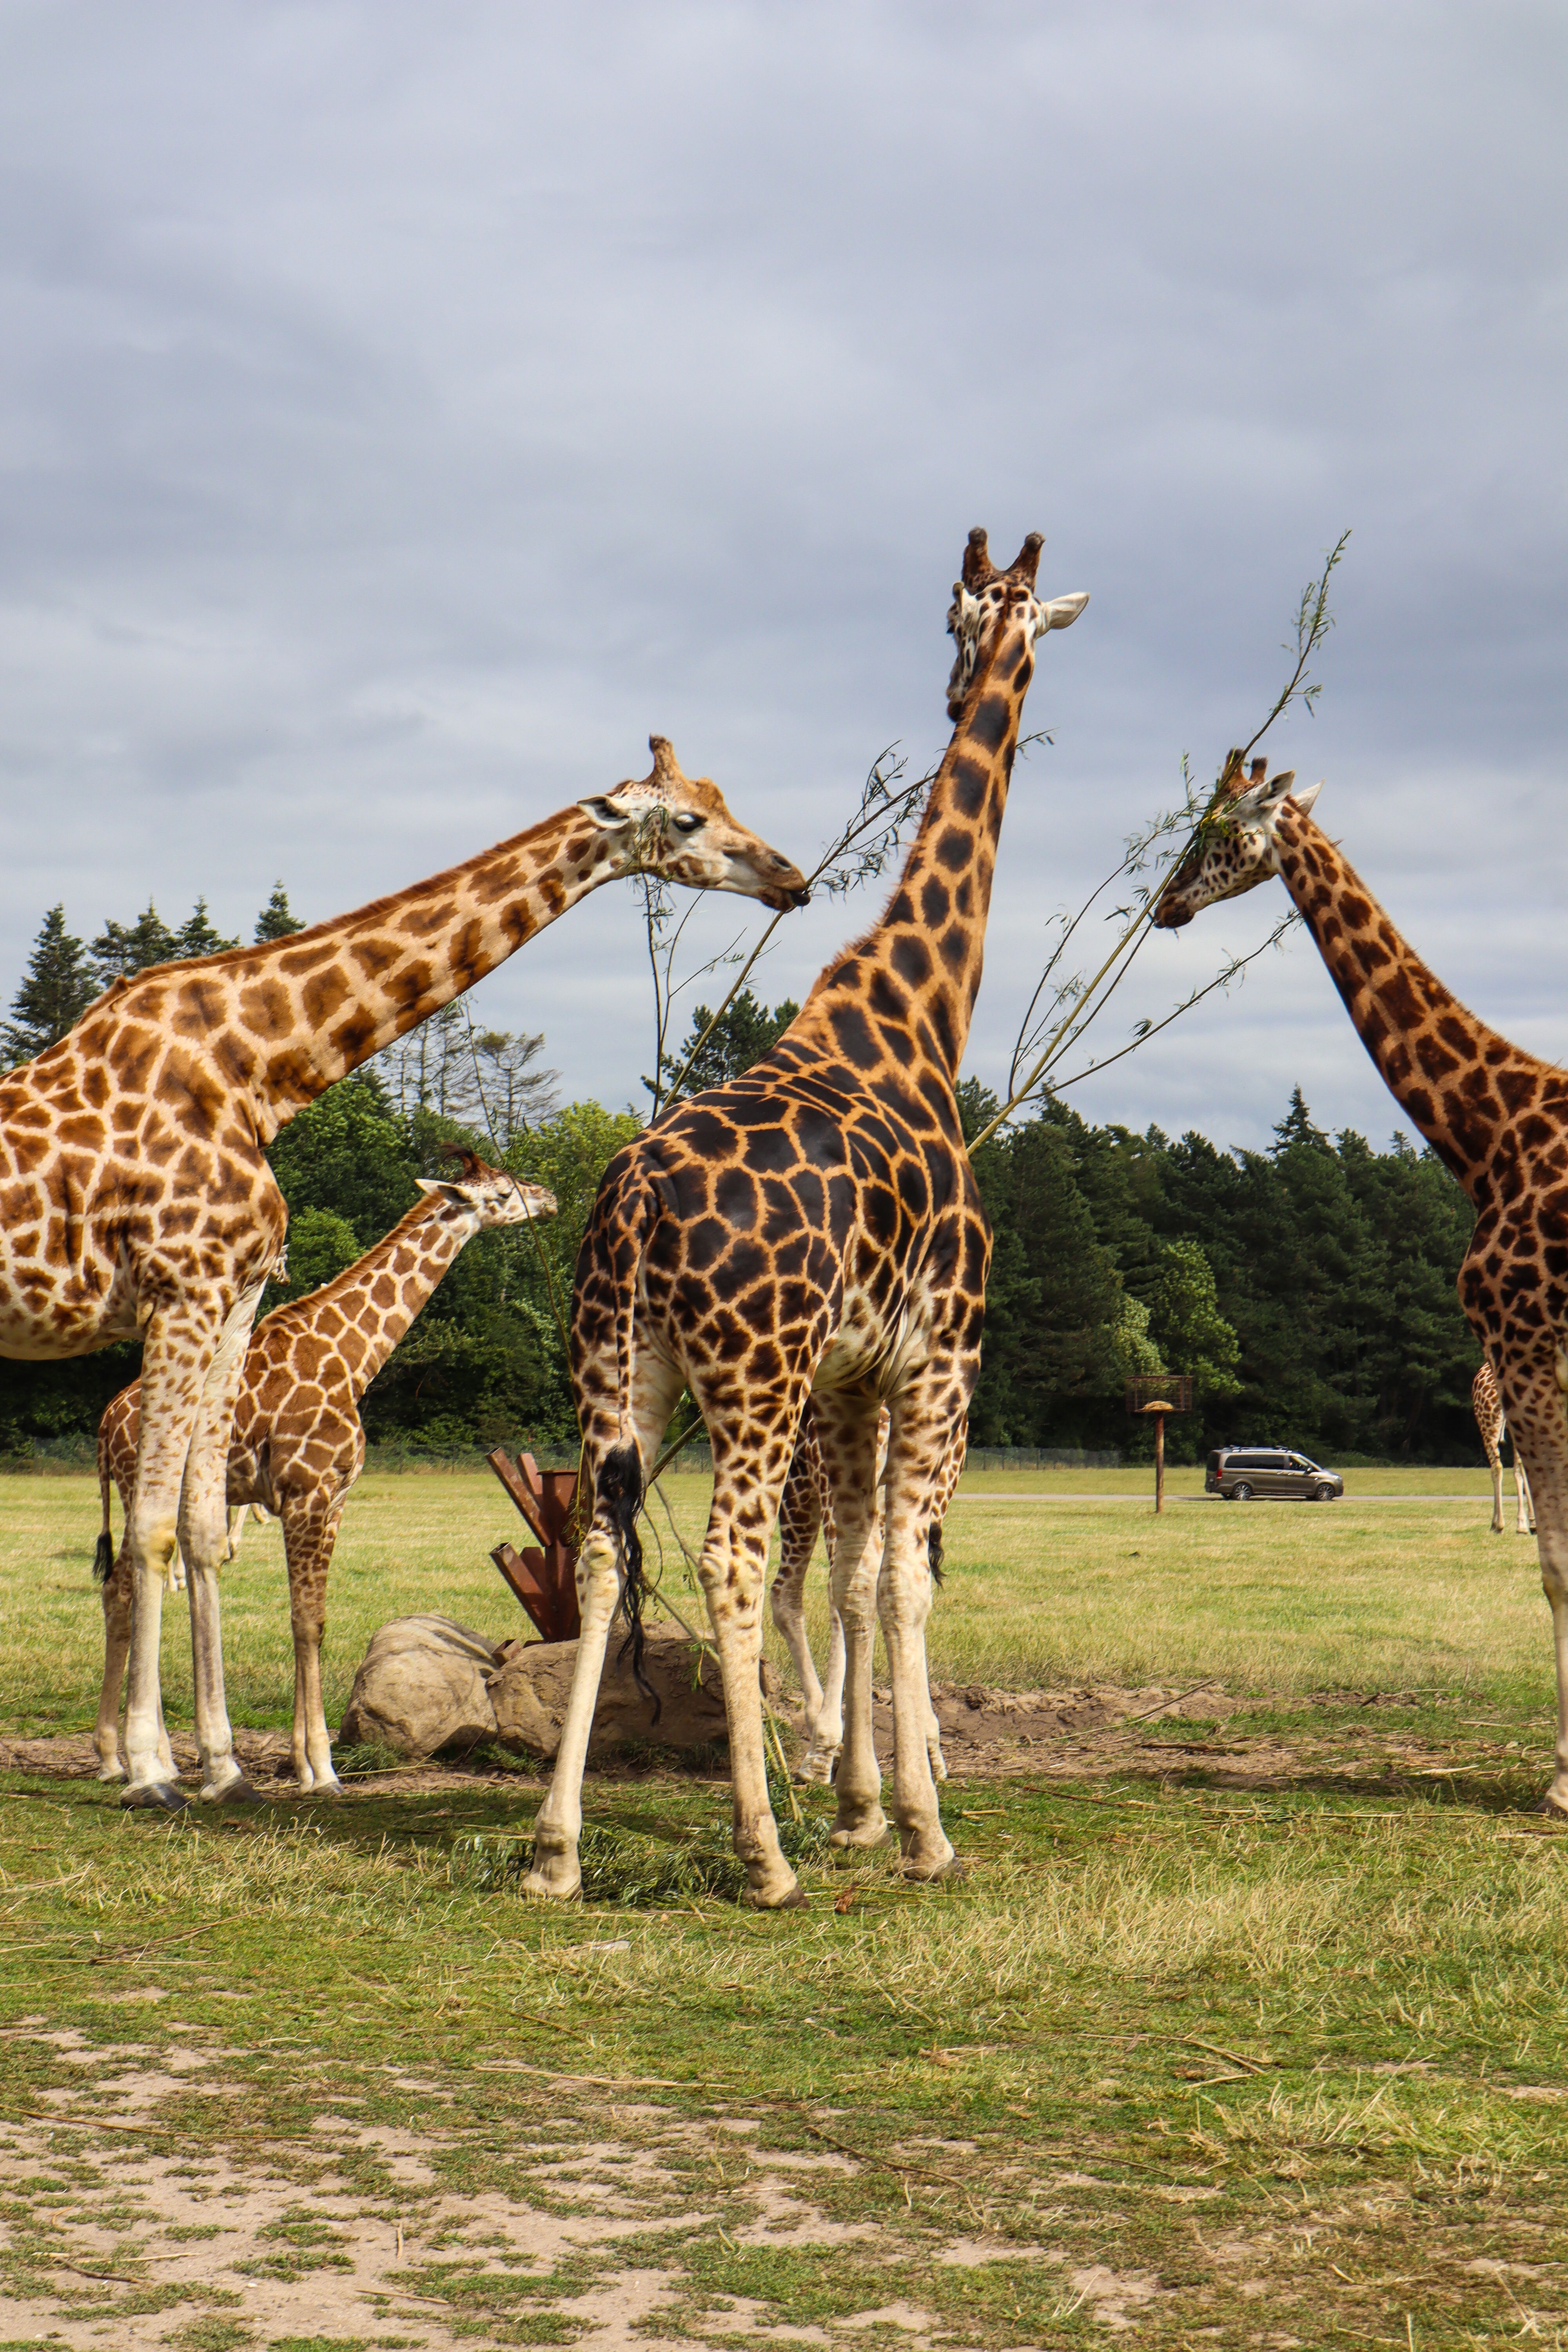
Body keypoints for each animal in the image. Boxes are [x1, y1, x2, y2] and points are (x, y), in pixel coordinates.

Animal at [92, 1153, 555, 1793]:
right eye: (505, 1192)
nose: (550, 1197)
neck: (355, 1356)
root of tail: (106, 1425)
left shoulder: (332, 1499)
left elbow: (309, 1621)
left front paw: (300, 1761)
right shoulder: (307, 1492)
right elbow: (307, 1622)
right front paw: (321, 1768)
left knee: (123, 1590)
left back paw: (132, 1759)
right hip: (141, 1484)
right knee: (132, 1588)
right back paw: (136, 1759)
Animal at [770, 1403, 964, 1784]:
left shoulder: (796, 1477)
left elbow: (787, 1599)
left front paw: (825, 1736)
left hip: (833, 1481)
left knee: (838, 1590)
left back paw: (822, 1752)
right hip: (928, 1489)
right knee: (905, 1586)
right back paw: (928, 1749)